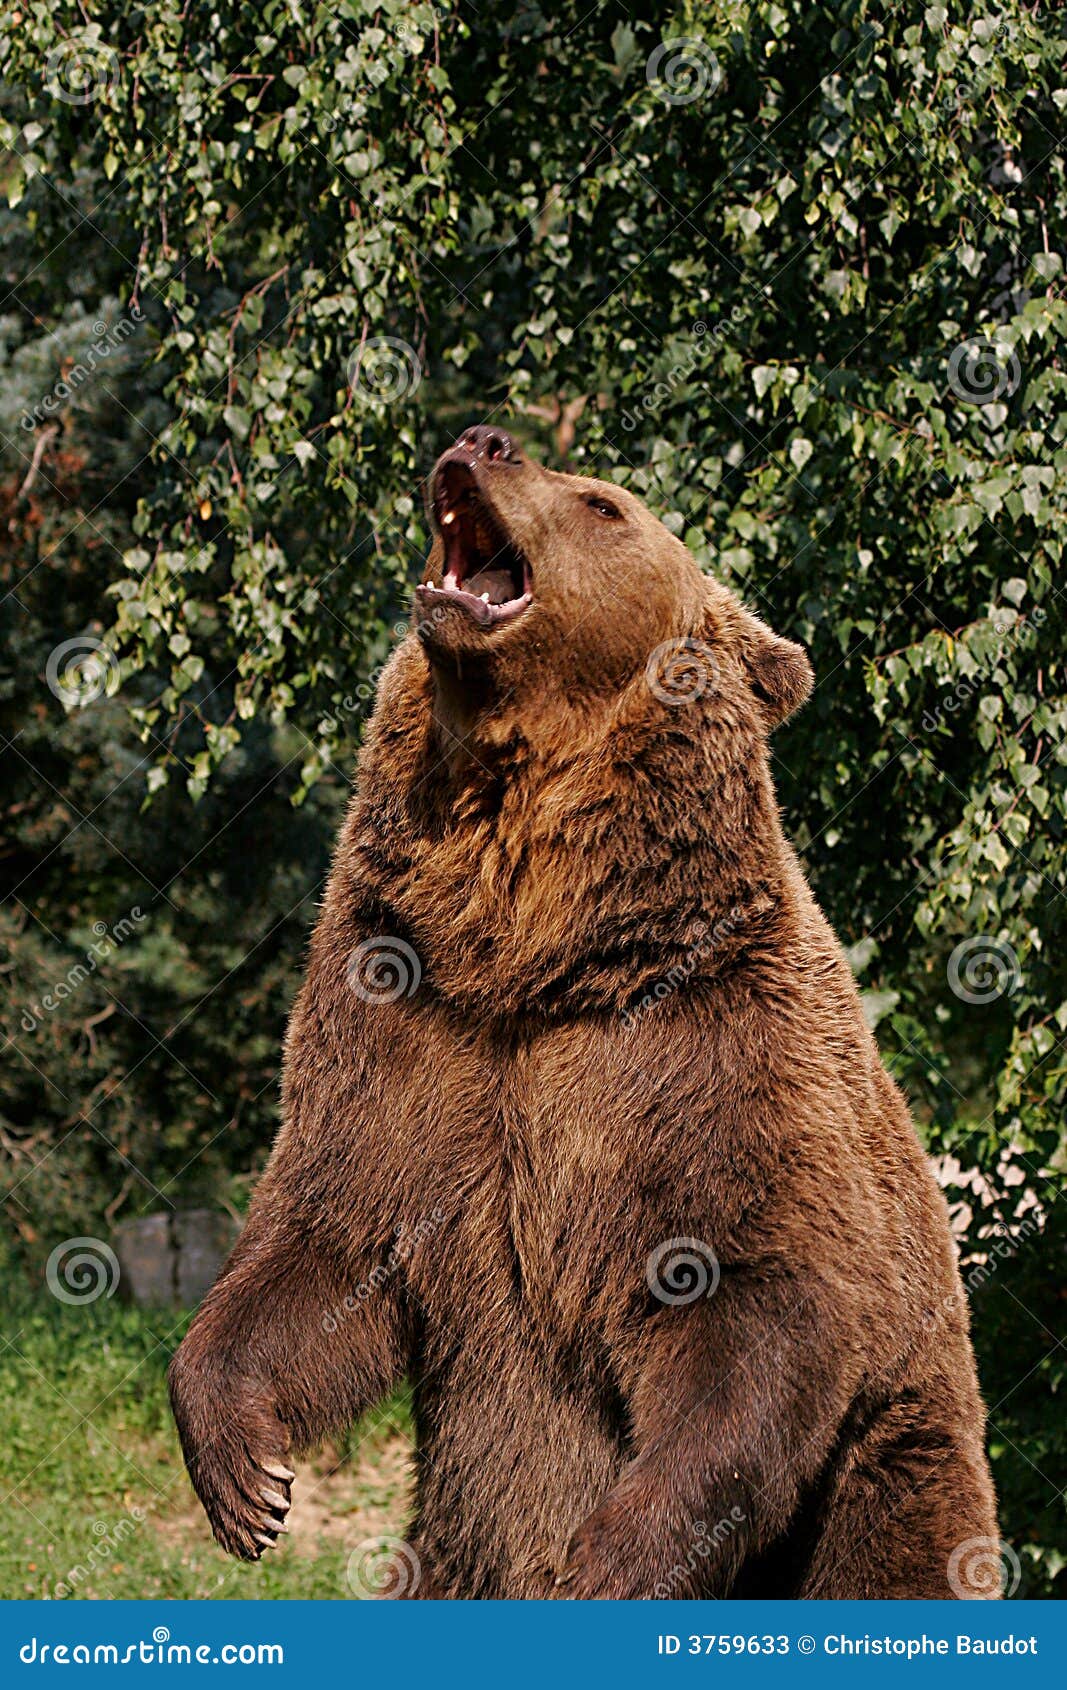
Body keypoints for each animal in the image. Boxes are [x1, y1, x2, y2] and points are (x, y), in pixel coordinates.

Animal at [168, 423, 999, 1599]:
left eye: (604, 504)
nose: (481, 440)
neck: (531, 953)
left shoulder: (710, 1045)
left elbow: (753, 1296)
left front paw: (611, 1557)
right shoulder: (399, 1008)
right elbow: (328, 1233)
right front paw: (247, 1477)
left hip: (887, 1466)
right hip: (448, 1543)